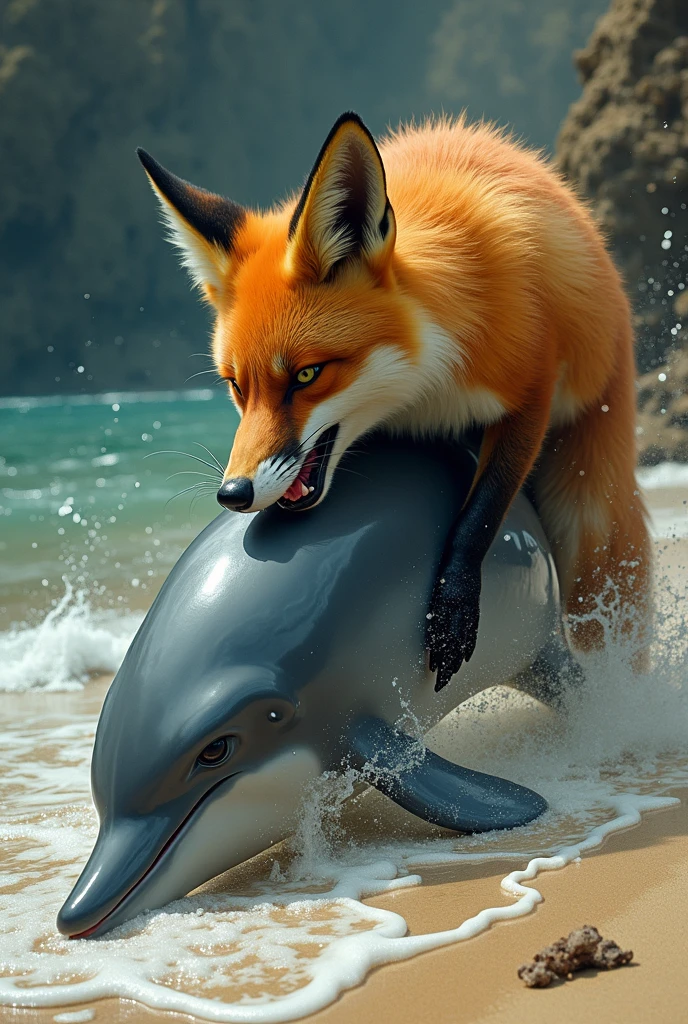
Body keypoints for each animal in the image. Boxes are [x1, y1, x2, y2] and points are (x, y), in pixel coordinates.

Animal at [137, 111, 652, 690]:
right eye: (236, 386)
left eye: (307, 375)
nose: (233, 493)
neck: (427, 382)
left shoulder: (532, 387)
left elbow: (482, 510)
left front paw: (454, 602)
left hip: (589, 523)